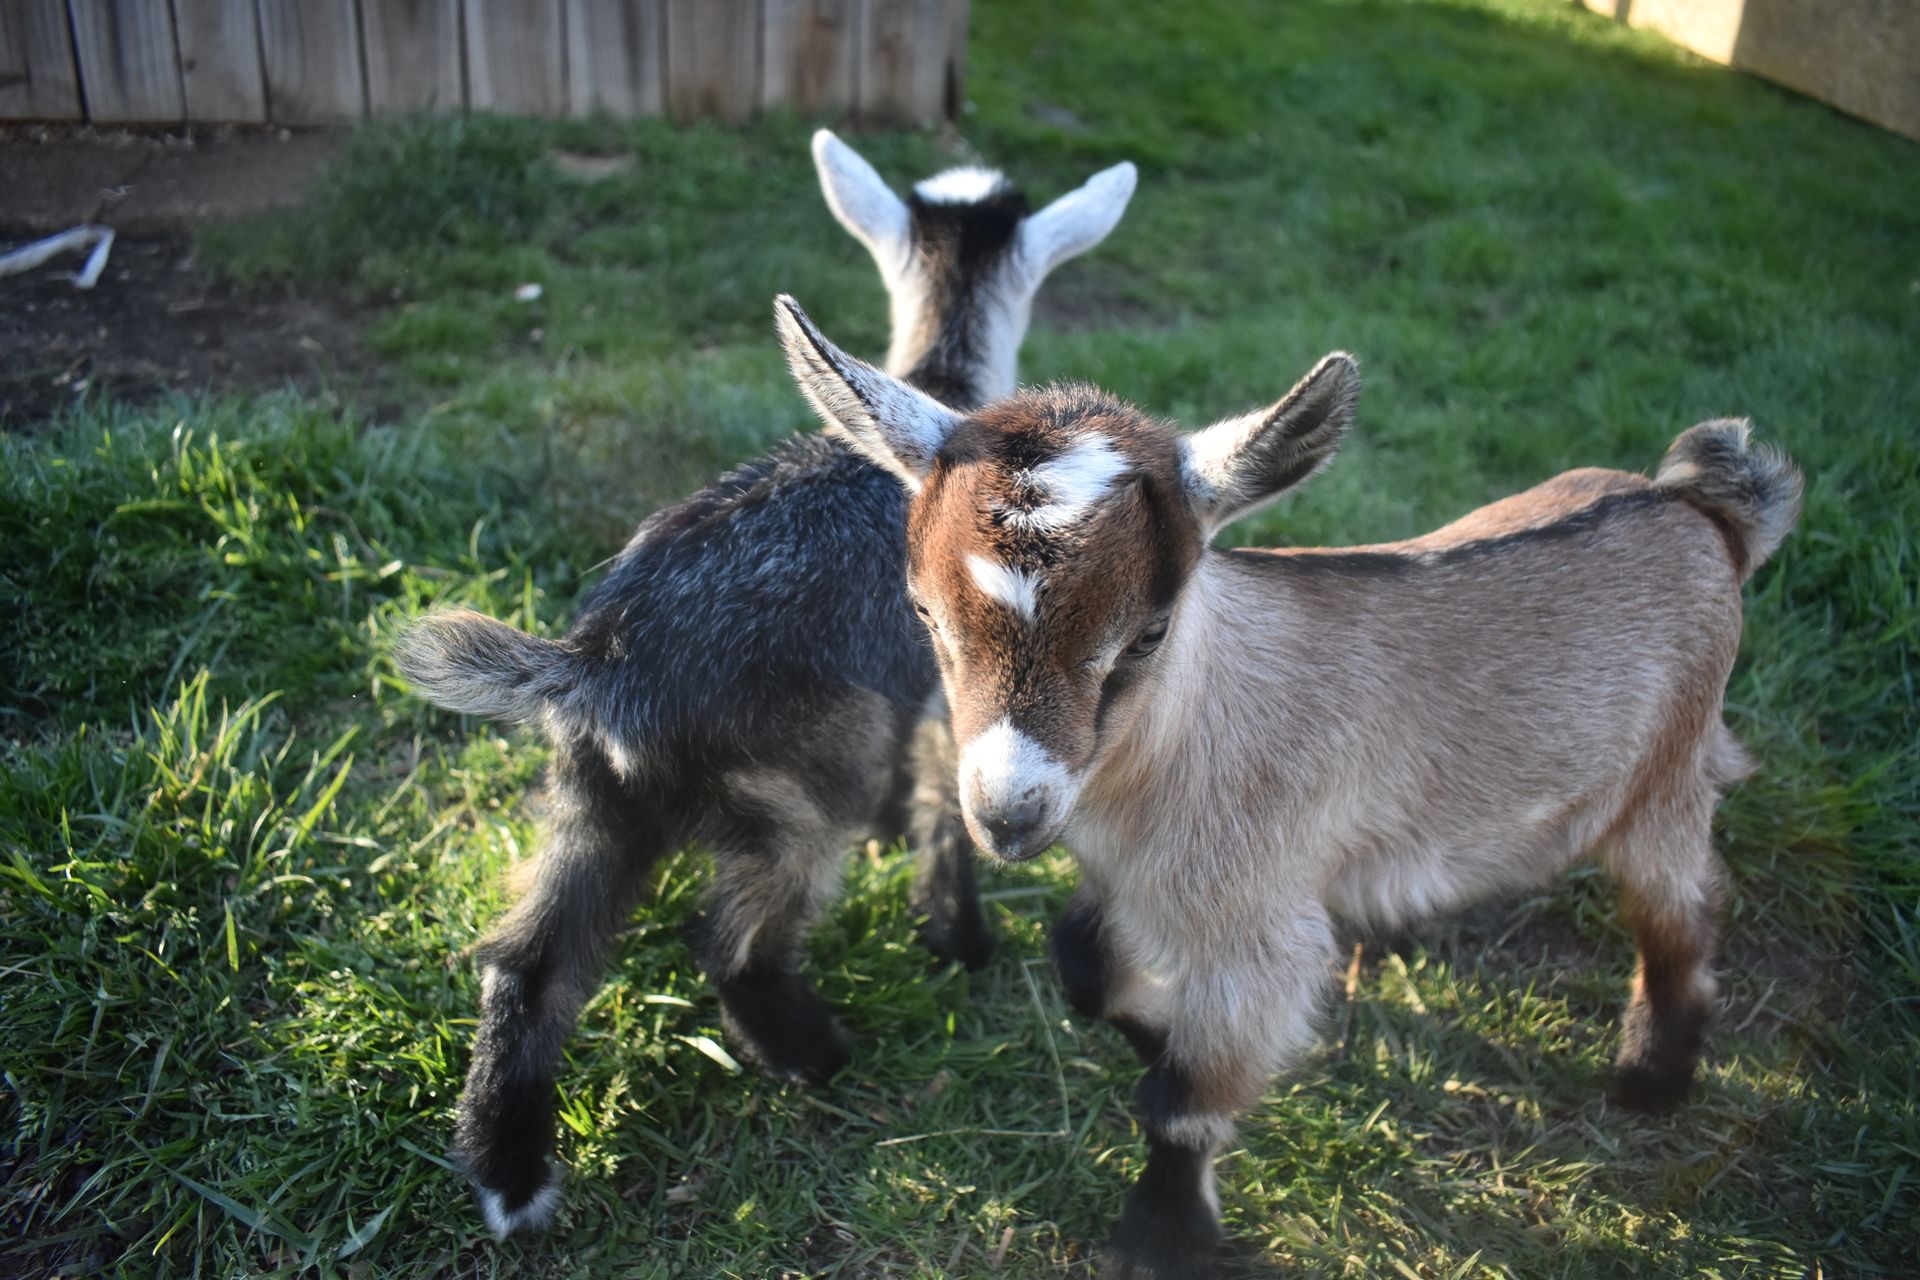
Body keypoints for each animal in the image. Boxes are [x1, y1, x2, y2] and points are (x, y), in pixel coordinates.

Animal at [396, 134, 1137, 1238]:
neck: (934, 390)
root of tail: (596, 662)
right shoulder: (945, 701)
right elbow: (944, 817)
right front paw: (960, 941)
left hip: (594, 802)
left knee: (530, 967)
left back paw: (510, 1179)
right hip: (802, 780)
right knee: (735, 948)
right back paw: (816, 1056)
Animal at [772, 295, 1802, 1279]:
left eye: (1147, 633)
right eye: (922, 610)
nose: (1007, 814)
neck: (1164, 756)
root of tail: (1701, 508)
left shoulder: (1258, 922)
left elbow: (1186, 1101)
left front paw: (1162, 1242)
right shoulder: (1128, 881)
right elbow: (1083, 964)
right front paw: (1150, 1030)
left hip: (1666, 775)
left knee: (1681, 909)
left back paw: (1651, 1081)